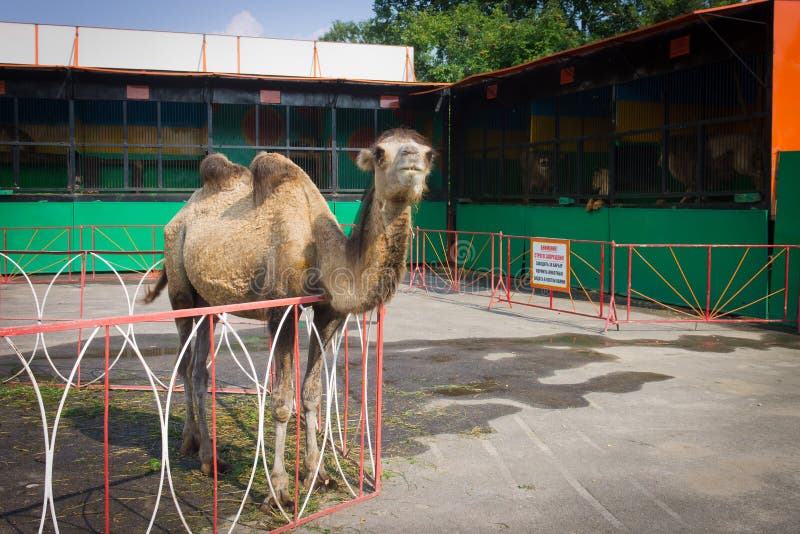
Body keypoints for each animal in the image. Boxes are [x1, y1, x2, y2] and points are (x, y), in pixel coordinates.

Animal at [143, 128, 434, 511]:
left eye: (429, 153)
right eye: (380, 152)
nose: (413, 158)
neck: (320, 249)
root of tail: (180, 215)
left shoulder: (328, 314)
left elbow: (311, 394)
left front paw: (318, 474)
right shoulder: (282, 310)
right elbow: (282, 401)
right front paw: (280, 490)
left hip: (209, 305)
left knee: (198, 369)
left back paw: (201, 450)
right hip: (181, 290)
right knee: (184, 362)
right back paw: (199, 450)